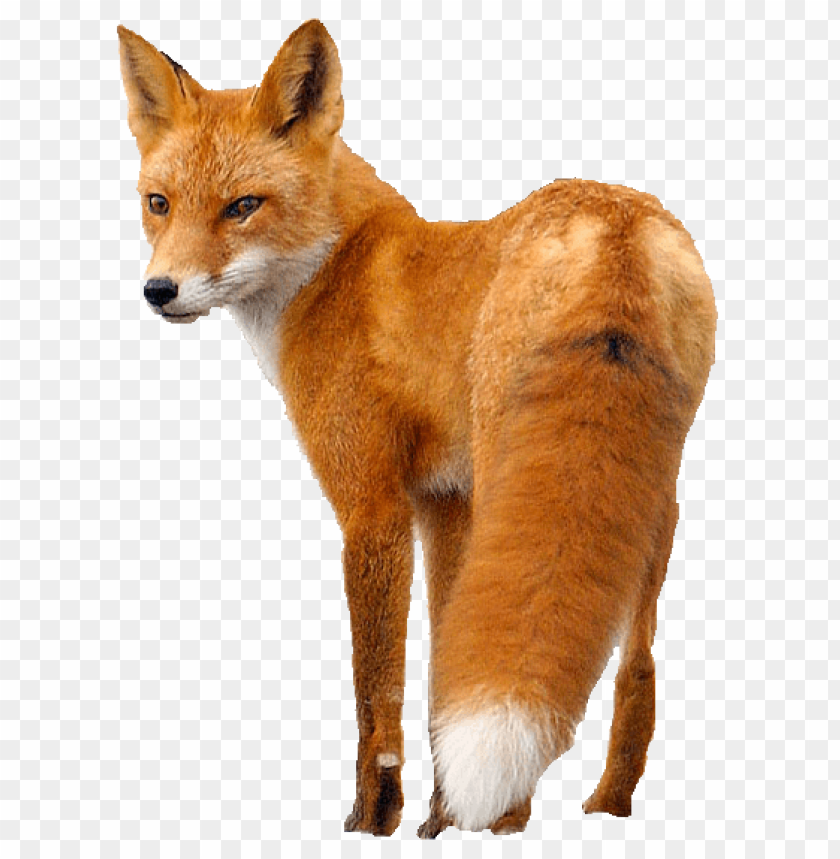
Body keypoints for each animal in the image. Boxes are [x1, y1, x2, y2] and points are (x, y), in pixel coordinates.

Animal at [118, 19, 716, 838]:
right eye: (160, 203)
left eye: (242, 206)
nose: (159, 290)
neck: (336, 268)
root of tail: (614, 222)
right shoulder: (444, 503)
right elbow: (446, 668)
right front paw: (440, 816)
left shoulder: (374, 505)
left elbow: (378, 682)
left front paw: (379, 817)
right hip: (651, 492)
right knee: (638, 665)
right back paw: (605, 807)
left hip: (516, 478)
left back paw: (511, 821)